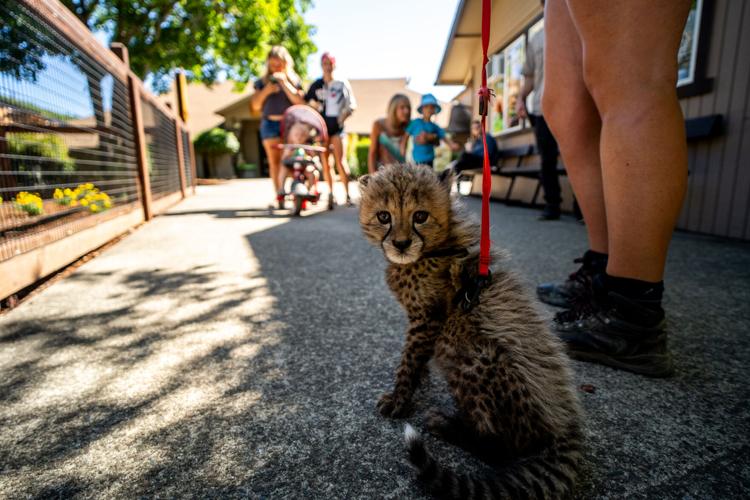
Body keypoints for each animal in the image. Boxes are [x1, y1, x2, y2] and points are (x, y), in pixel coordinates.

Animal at [358, 163, 584, 499]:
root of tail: (567, 423)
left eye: (420, 216)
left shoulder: (428, 321)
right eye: (384, 216)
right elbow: (417, 358)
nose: (400, 244)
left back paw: (446, 425)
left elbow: (409, 359)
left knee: (501, 450)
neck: (436, 249)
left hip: (470, 351)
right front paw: (419, 383)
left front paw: (400, 397)